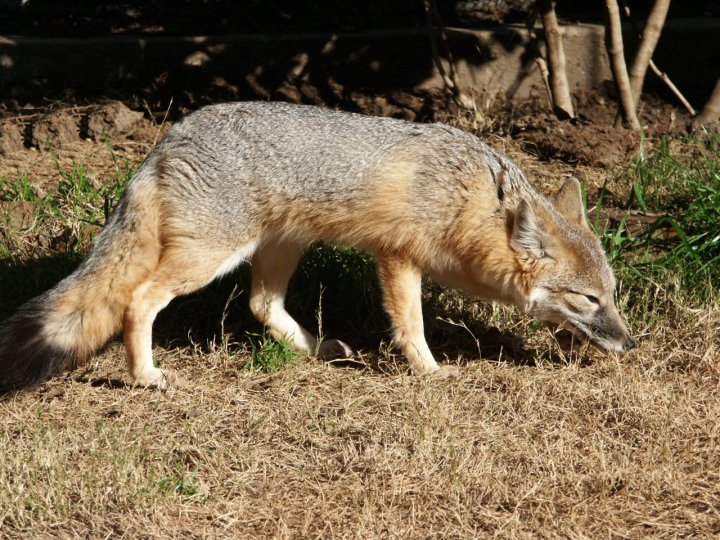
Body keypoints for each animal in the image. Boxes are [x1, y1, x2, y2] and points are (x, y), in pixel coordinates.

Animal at [0, 101, 635, 390]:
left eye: (612, 296)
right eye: (588, 300)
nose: (630, 344)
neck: (470, 199)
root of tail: (170, 136)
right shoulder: (398, 258)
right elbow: (412, 326)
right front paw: (430, 371)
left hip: (281, 247)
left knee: (260, 305)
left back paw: (318, 347)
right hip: (209, 258)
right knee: (139, 300)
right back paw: (145, 375)